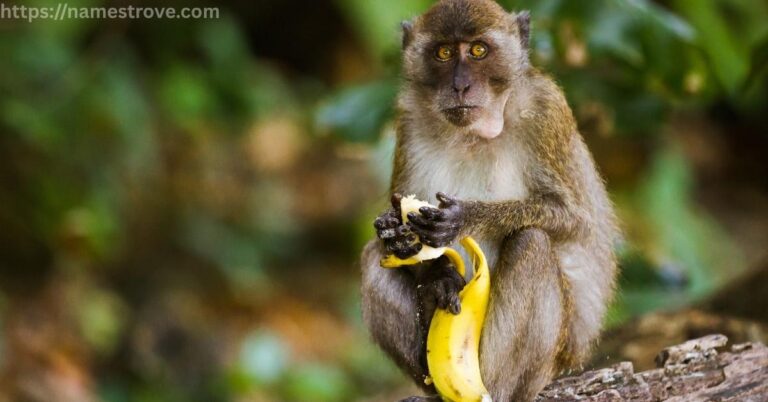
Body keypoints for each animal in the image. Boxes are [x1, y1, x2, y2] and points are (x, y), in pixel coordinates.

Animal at [360, 0, 619, 401]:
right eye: (444, 52)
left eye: (479, 50)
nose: (460, 85)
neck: (472, 134)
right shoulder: (408, 121)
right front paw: (416, 253)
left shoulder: (546, 110)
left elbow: (575, 219)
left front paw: (465, 217)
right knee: (374, 258)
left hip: (549, 361)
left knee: (532, 243)